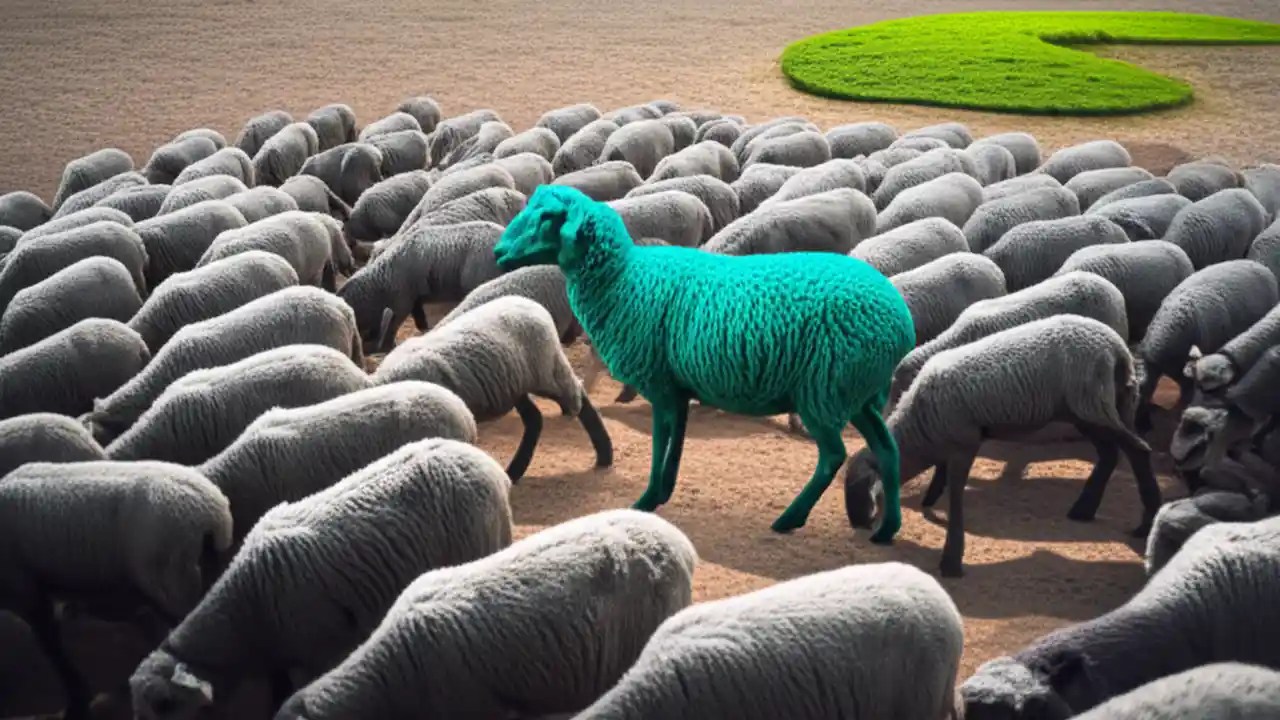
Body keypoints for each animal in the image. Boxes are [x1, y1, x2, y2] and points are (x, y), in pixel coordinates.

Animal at [339, 220, 505, 352]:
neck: (383, 281)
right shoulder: (414, 300)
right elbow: (419, 319)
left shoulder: (402, 303)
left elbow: (393, 326)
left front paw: (389, 347)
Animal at [373, 296, 613, 479]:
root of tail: (532, 304)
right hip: (514, 383)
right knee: (535, 418)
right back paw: (515, 471)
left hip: (547, 370)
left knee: (578, 398)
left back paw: (605, 456)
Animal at [850, 314, 1161, 576]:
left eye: (864, 492)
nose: (860, 526)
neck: (919, 426)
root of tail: (1118, 350)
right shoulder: (950, 439)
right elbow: (942, 475)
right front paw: (931, 498)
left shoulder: (964, 443)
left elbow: (956, 496)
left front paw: (951, 560)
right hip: (1099, 409)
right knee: (1112, 454)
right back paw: (1084, 510)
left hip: (1092, 405)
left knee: (1139, 450)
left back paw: (1145, 522)